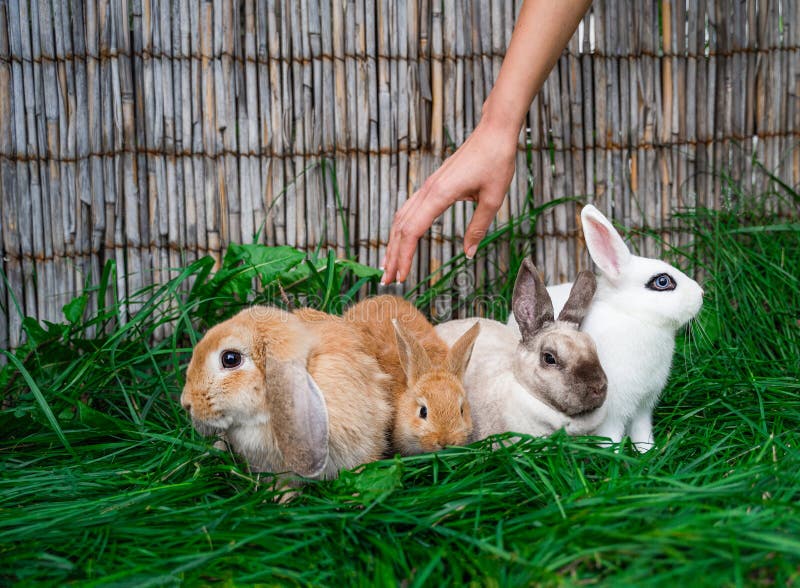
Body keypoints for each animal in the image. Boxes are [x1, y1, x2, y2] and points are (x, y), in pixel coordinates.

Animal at [507, 204, 704, 450]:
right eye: (662, 282)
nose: (701, 294)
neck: (633, 316)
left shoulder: (643, 406)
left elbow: (642, 430)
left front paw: (648, 451)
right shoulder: (610, 411)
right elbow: (610, 437)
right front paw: (615, 455)